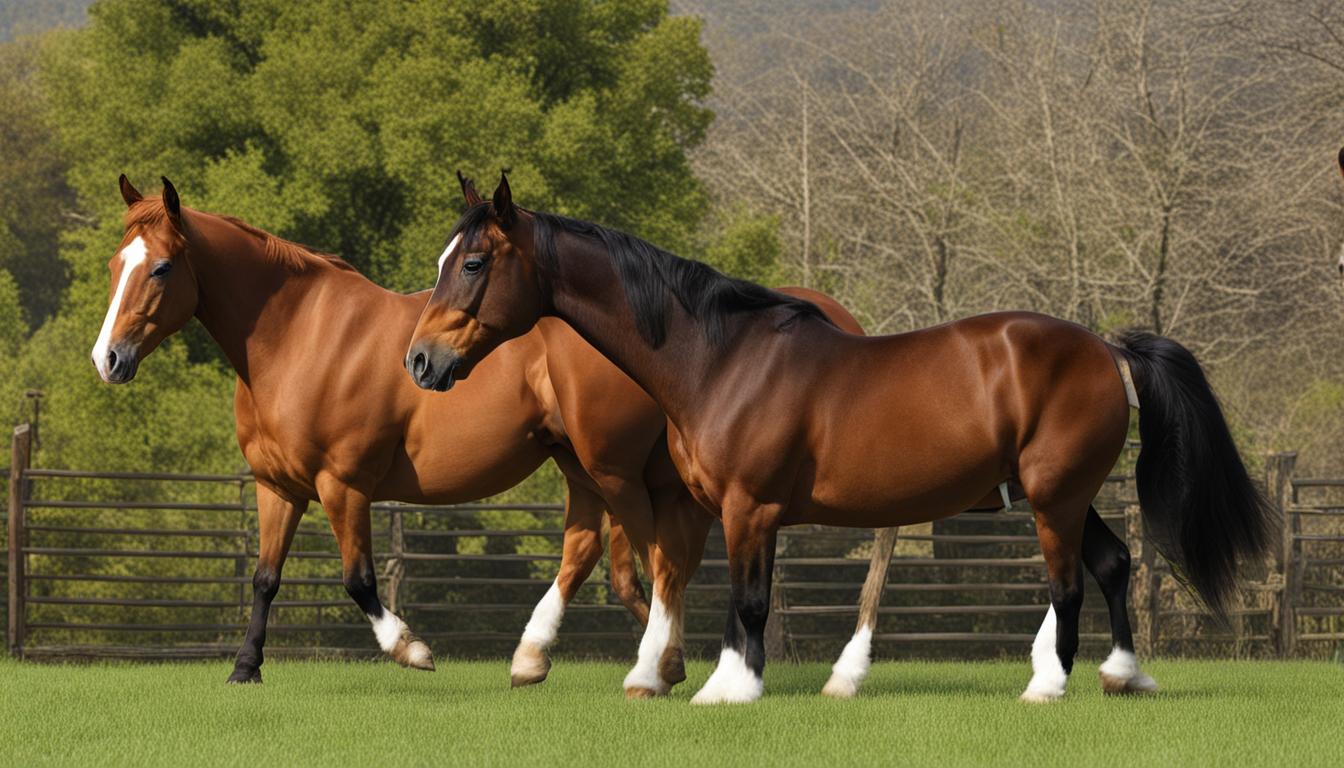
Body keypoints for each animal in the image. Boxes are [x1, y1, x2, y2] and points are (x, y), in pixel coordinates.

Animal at [92, 176, 876, 697]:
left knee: (653, 560)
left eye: (161, 267)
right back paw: (541, 657)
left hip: (612, 466)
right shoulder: (276, 487)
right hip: (579, 466)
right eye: (113, 266)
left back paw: (660, 659)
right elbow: (264, 577)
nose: (109, 359)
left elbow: (359, 579)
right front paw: (245, 667)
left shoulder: (343, 486)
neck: (299, 336)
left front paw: (411, 650)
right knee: (593, 551)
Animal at [405, 172, 1274, 704]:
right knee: (1115, 563)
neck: (721, 356)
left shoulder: (748, 509)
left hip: (1054, 497)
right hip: (1063, 493)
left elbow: (746, 602)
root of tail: (1104, 348)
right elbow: (707, 591)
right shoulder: (724, 511)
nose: (421, 360)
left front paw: (727, 688)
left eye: (474, 262)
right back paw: (1122, 675)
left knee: (1070, 583)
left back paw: (1046, 686)